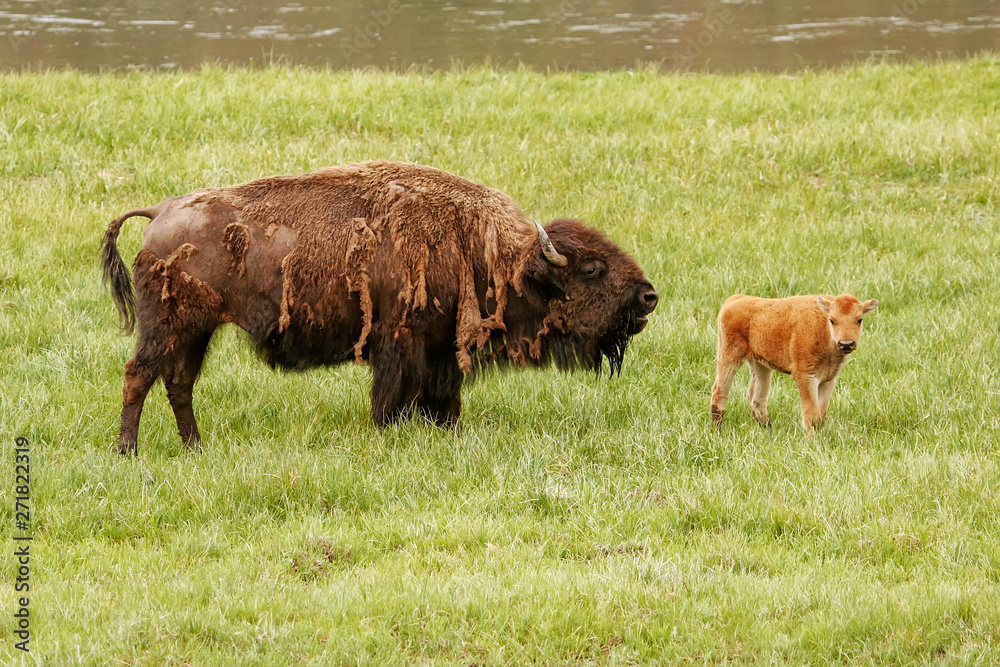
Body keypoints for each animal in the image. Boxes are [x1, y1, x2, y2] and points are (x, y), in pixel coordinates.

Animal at [102, 161, 658, 454]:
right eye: (591, 269)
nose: (649, 296)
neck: (498, 255)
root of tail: (160, 212)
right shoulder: (401, 346)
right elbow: (392, 398)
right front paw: (387, 432)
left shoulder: (440, 353)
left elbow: (445, 400)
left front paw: (448, 432)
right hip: (169, 326)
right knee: (139, 375)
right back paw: (129, 451)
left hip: (196, 330)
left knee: (178, 382)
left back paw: (195, 446)